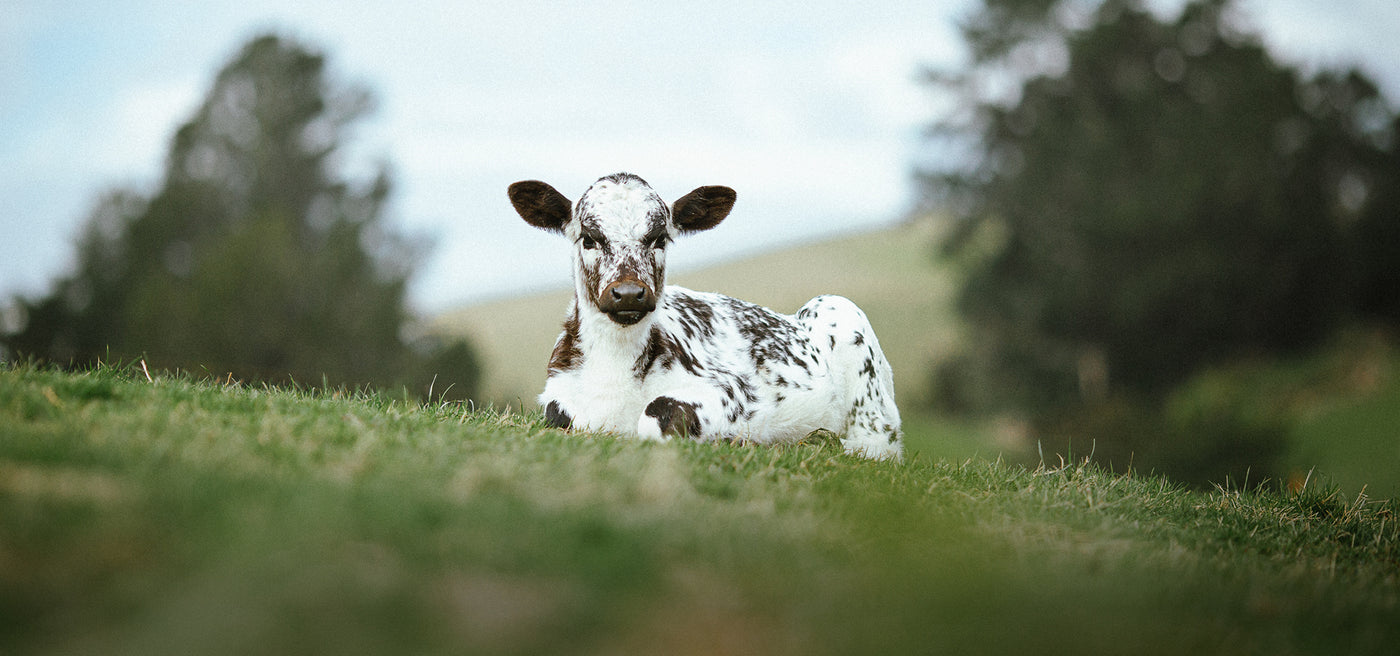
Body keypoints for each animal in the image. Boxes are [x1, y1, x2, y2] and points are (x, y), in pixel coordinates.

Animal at [508, 172, 903, 461]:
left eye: (659, 238)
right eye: (589, 237)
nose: (629, 293)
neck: (615, 369)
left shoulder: (733, 390)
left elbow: (658, 411)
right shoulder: (558, 396)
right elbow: (561, 418)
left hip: (848, 332)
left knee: (876, 444)